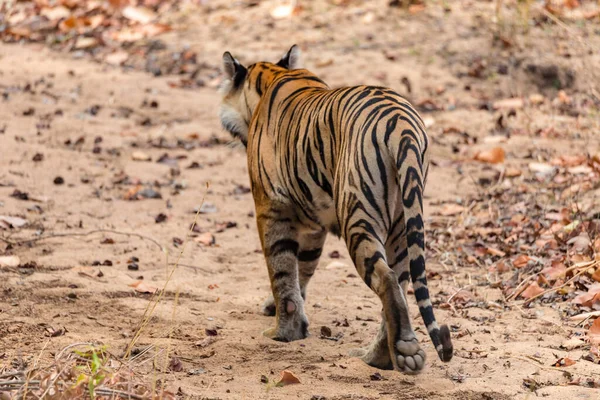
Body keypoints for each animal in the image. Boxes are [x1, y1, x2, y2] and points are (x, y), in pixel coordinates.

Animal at [218, 45, 452, 374]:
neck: (272, 76)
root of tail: (401, 124)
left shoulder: (271, 206)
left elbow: (282, 270)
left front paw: (284, 332)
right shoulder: (314, 224)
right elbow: (303, 268)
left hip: (358, 214)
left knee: (387, 280)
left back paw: (398, 352)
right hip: (403, 222)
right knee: (401, 283)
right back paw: (387, 356)